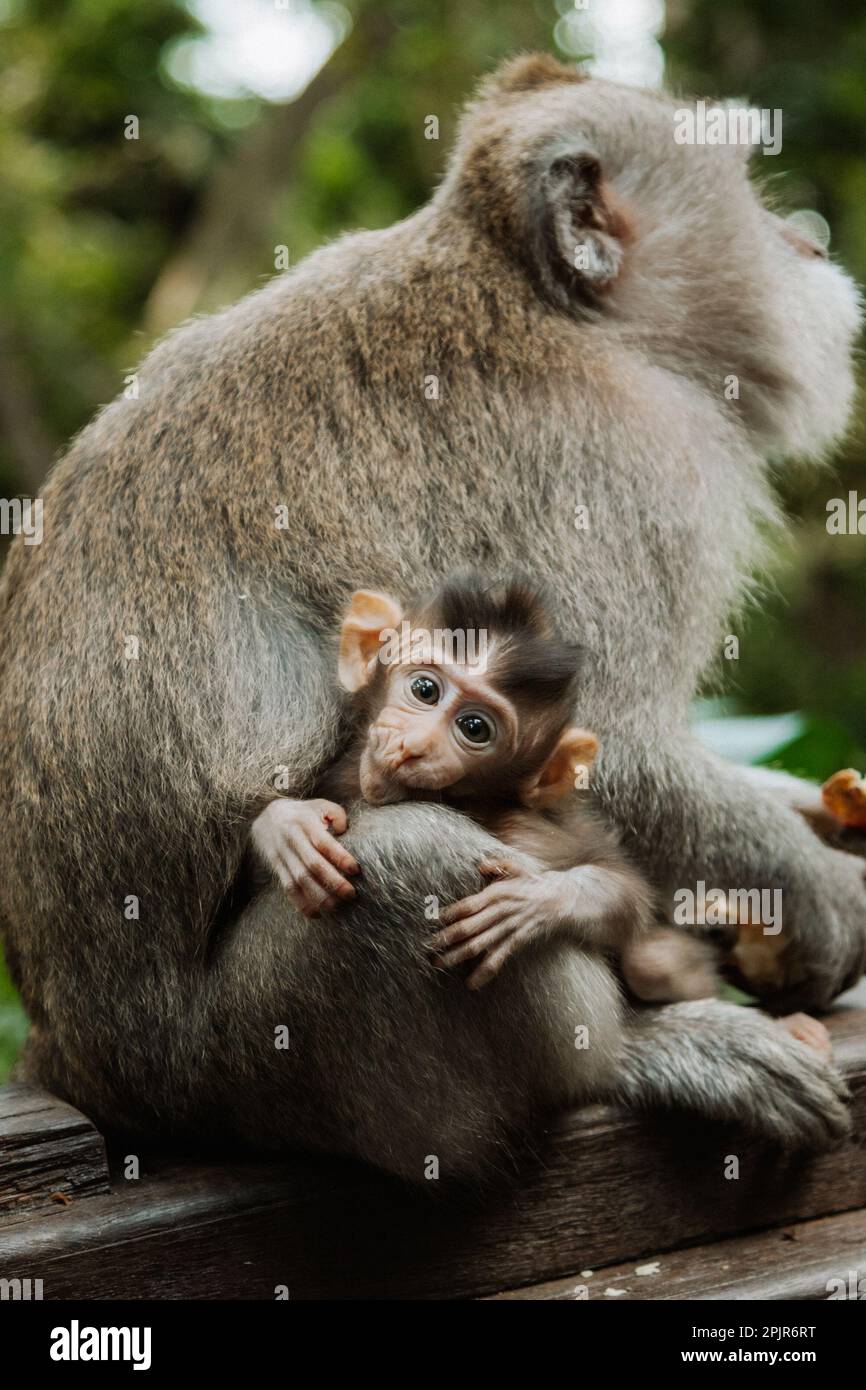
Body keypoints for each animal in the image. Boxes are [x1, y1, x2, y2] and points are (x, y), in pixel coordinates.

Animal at [0, 54, 861, 1184]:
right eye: (750, 193)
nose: (808, 244)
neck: (546, 302)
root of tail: (75, 1060)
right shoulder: (623, 463)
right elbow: (619, 754)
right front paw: (821, 898)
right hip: (246, 1062)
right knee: (414, 861)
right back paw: (642, 1055)